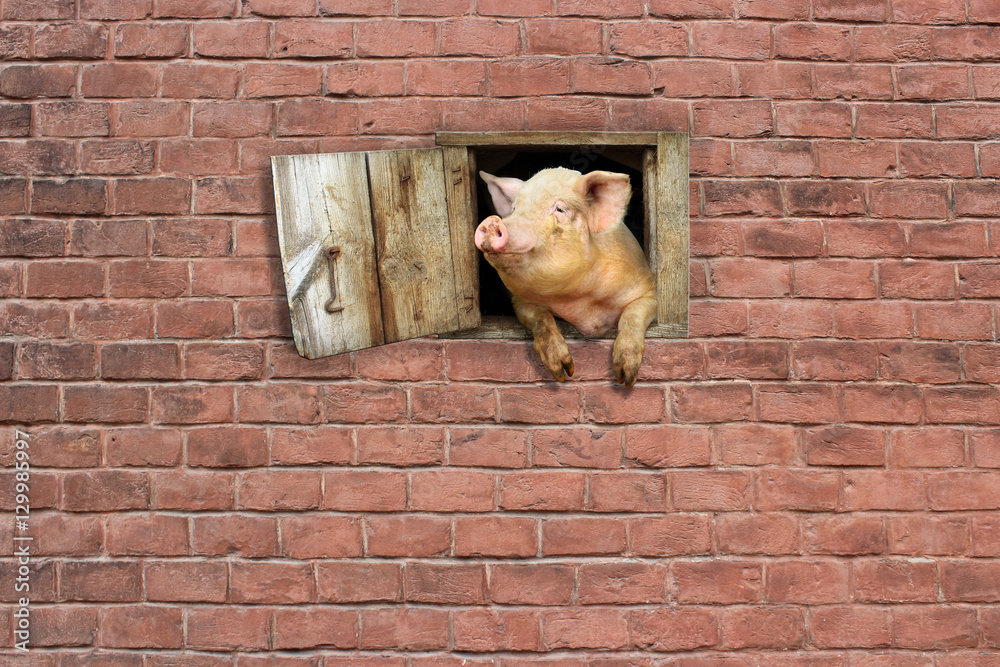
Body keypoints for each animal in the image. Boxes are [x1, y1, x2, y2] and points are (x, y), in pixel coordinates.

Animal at [475, 167, 657, 387]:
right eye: (514, 208)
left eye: (560, 209)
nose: (492, 221)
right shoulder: (520, 301)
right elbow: (540, 318)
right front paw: (563, 373)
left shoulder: (648, 290)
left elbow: (632, 315)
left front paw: (626, 378)